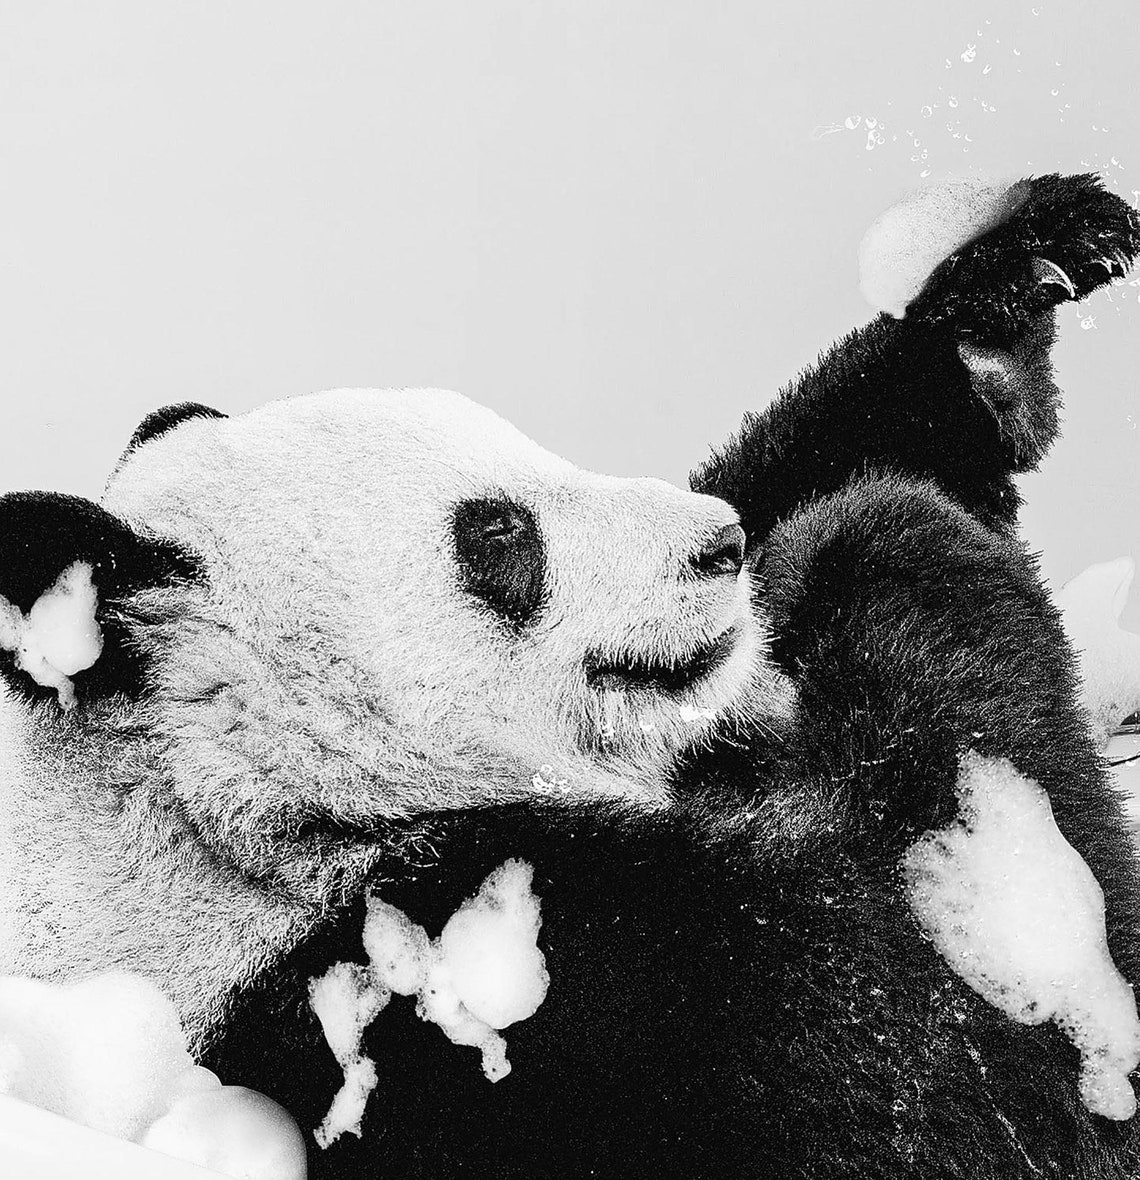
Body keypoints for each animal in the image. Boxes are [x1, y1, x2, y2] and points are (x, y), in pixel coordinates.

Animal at [1, 173, 1139, 1179]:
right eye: (500, 534)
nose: (721, 548)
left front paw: (1008, 286)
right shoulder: (470, 1004)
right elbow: (930, 1056)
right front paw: (886, 542)